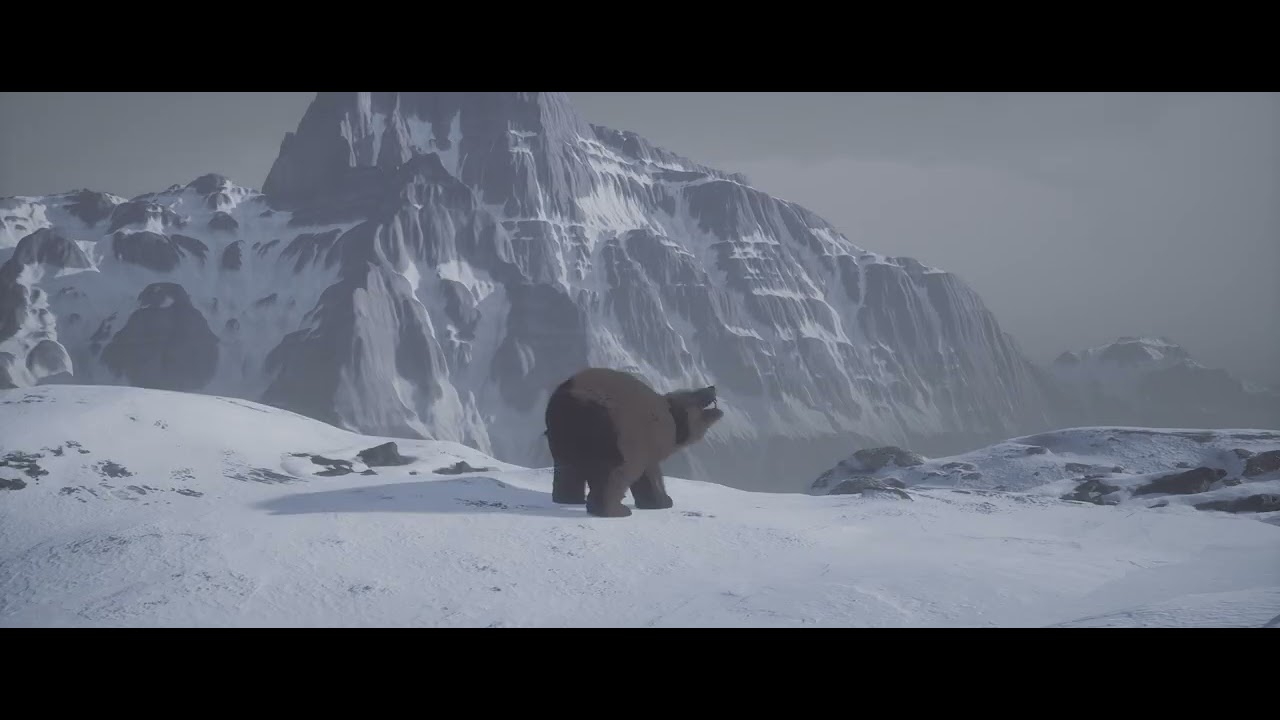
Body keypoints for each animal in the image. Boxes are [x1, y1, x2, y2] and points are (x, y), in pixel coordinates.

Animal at [544, 367, 723, 518]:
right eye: (694, 393)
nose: (712, 387)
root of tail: (576, 398)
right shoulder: (647, 436)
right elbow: (648, 473)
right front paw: (663, 501)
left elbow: (649, 473)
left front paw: (662, 500)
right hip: (614, 427)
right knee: (620, 468)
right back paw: (615, 510)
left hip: (563, 428)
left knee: (567, 467)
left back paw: (569, 498)